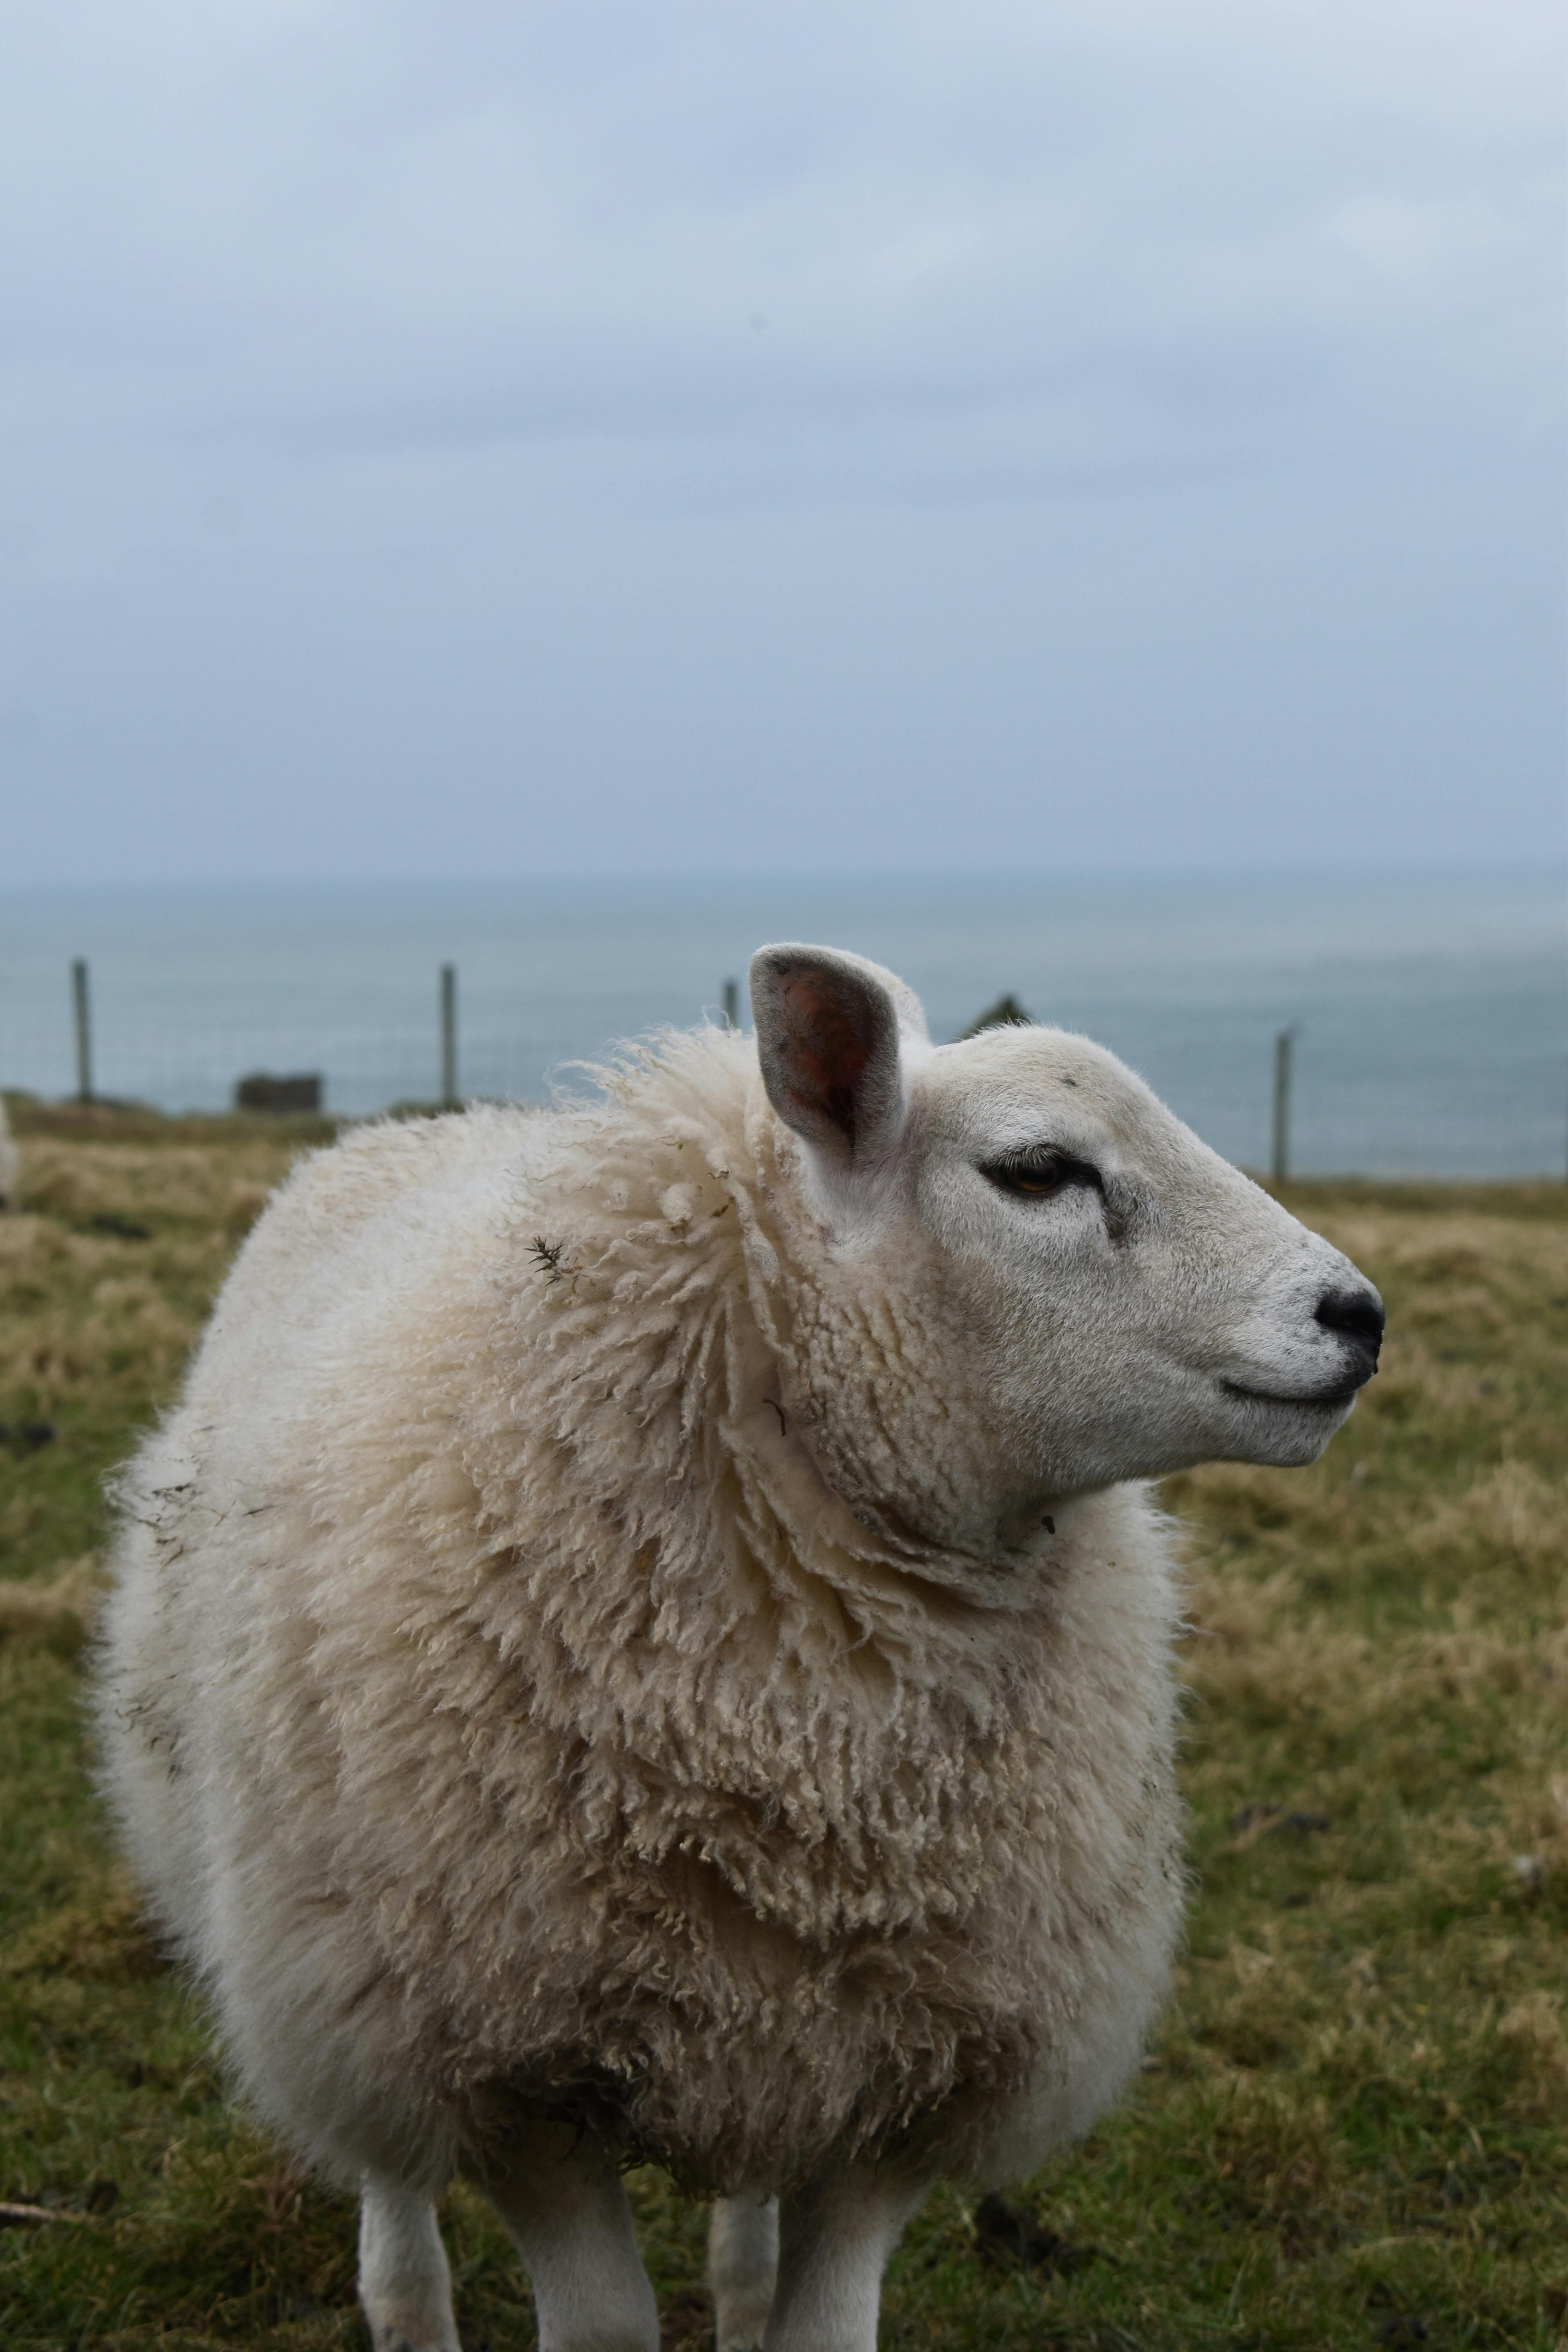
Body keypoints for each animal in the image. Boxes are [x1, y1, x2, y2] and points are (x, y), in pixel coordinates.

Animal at [95, 944, 1383, 2352]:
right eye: (1039, 1171)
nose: (1358, 1316)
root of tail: (422, 1121)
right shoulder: (513, 2068)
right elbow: (602, 2324)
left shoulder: (909, 2073)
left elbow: (822, 2325)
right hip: (338, 1958)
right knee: (388, 2168)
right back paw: (408, 2301)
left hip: (775, 2038)